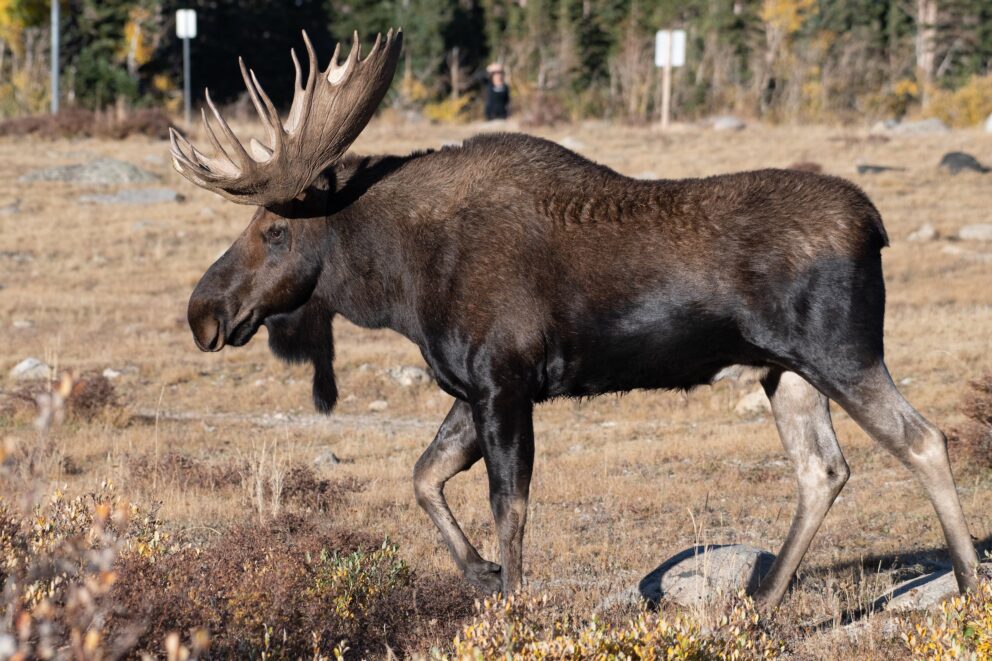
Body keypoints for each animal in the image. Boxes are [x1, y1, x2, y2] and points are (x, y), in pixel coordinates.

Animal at [171, 29, 981, 610]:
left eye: (274, 229)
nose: (202, 312)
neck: (399, 281)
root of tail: (875, 226)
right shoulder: (472, 387)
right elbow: (424, 475)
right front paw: (483, 574)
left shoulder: (503, 380)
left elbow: (509, 505)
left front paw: (511, 601)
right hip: (786, 371)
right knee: (822, 470)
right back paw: (765, 601)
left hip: (842, 352)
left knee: (923, 440)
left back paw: (970, 581)